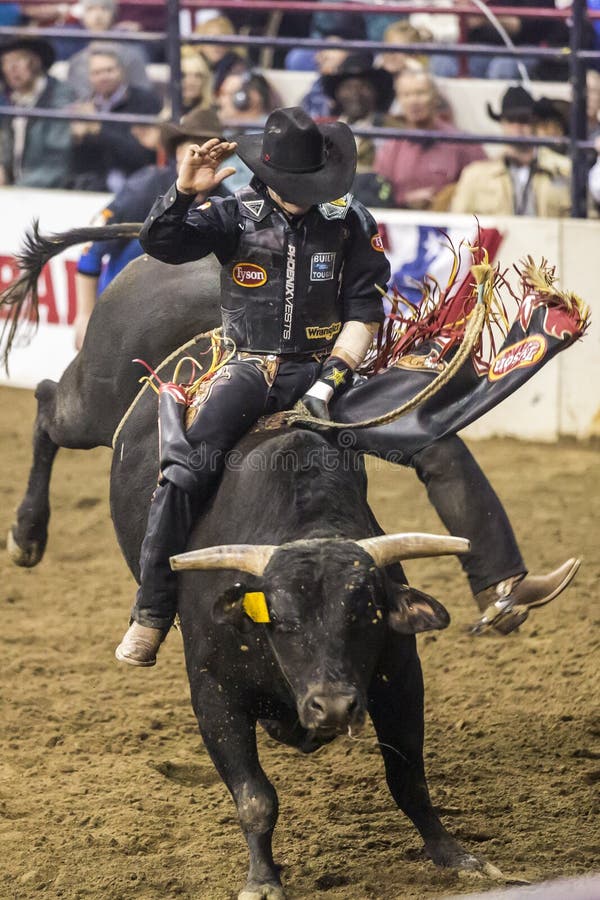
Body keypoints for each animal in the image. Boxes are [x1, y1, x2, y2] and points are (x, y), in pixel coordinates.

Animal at [110, 375, 500, 898]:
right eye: (282, 620)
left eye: (365, 615)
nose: (333, 706)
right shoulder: (214, 694)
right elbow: (256, 798)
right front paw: (262, 879)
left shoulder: (401, 680)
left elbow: (409, 780)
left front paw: (455, 855)